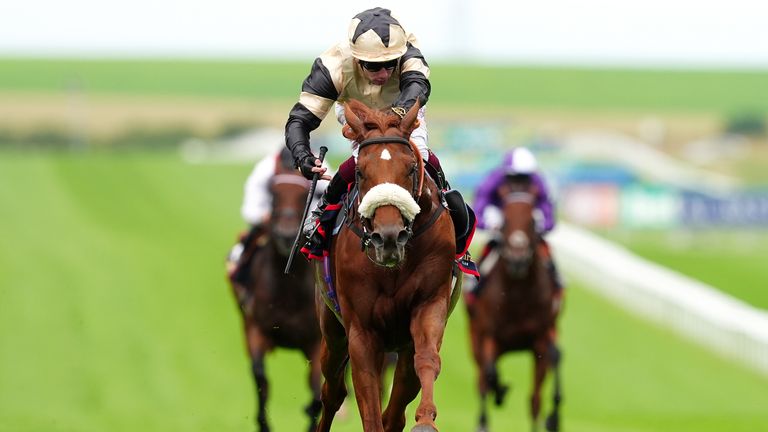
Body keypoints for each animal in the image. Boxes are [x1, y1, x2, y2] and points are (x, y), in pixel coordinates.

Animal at [229, 153, 322, 432]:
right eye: (273, 192)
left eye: (304, 195)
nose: (286, 235)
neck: (287, 291)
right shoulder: (256, 329)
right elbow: (260, 375)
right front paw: (263, 422)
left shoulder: (316, 342)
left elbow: (317, 391)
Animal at [313, 99, 461, 432]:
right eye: (359, 171)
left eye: (410, 168)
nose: (389, 236)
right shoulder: (361, 331)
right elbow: (367, 396)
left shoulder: (429, 304)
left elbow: (427, 359)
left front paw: (425, 420)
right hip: (332, 330)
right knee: (332, 389)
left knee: (396, 405)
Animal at [465, 175, 563, 432]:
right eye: (506, 219)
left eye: (532, 220)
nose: (518, 258)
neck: (518, 295)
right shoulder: (490, 335)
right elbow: (489, 373)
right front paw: (500, 392)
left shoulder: (541, 338)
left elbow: (539, 393)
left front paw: (552, 417)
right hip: (475, 336)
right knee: (482, 378)